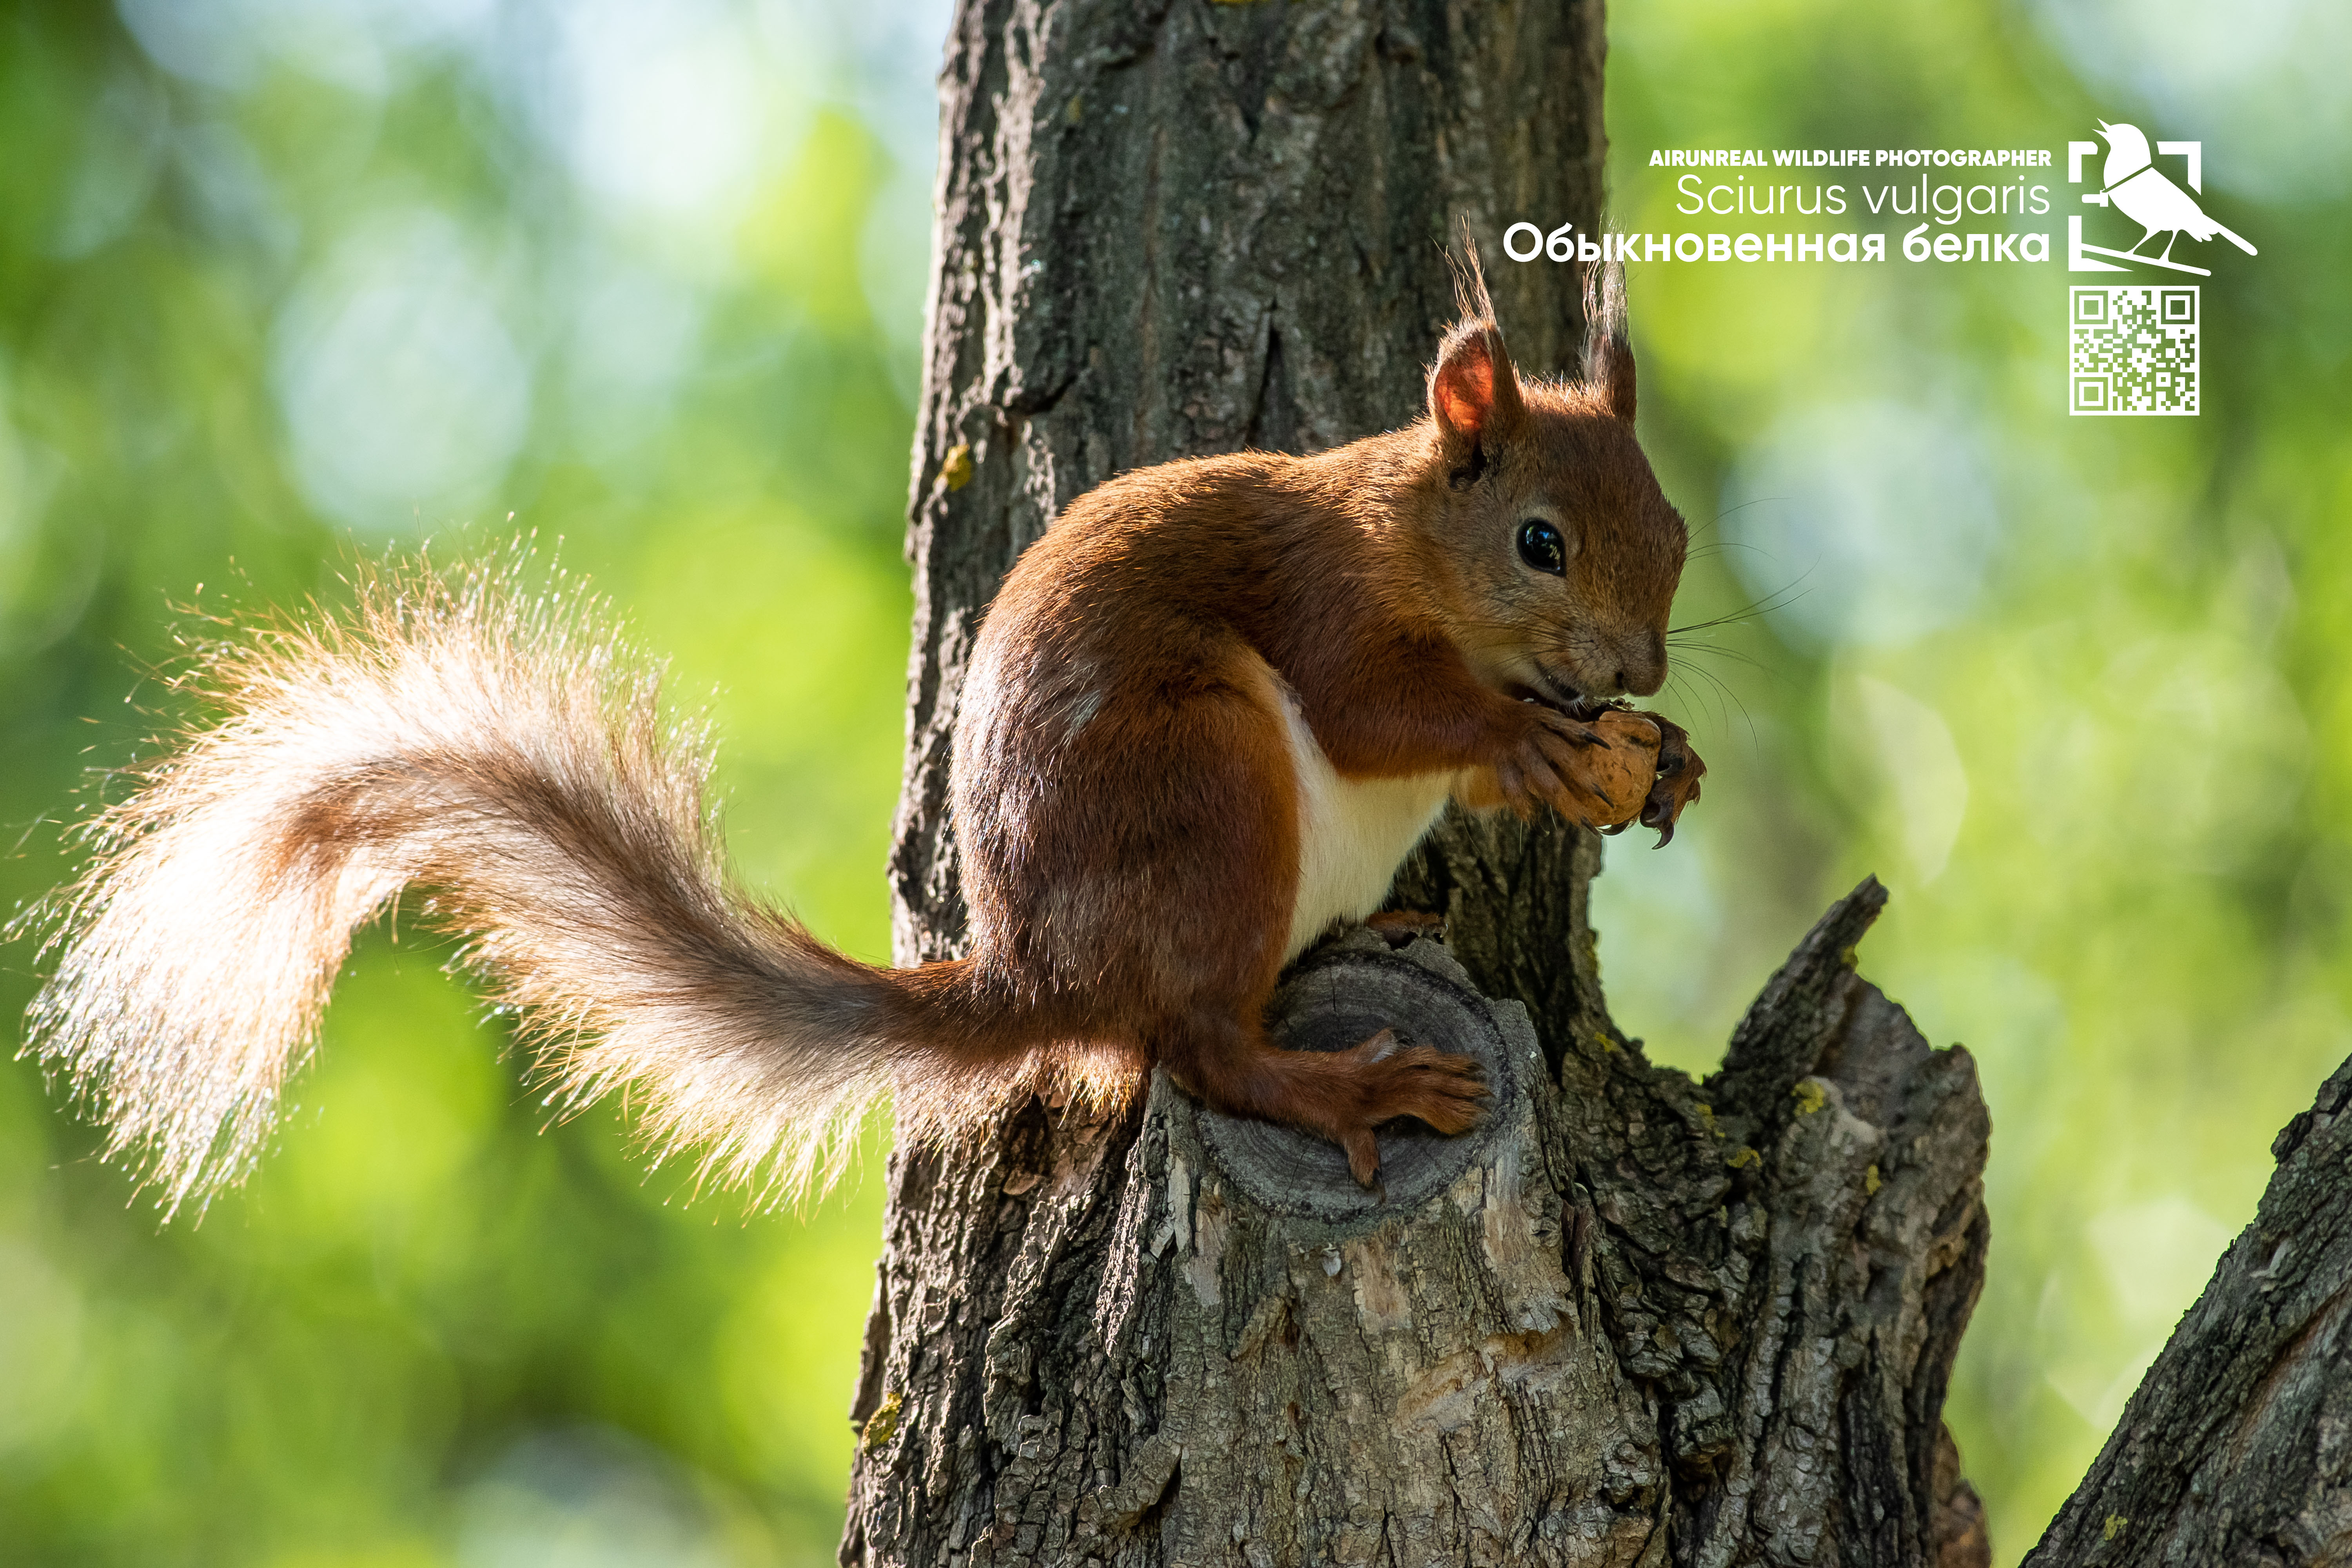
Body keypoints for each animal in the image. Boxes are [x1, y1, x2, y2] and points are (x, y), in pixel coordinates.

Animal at [27, 263, 1703, 1213]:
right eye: (1542, 541)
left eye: (1675, 530)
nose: (1633, 664)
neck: (1412, 528)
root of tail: (1046, 972)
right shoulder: (1325, 599)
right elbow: (1378, 707)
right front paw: (1529, 743)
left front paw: (1663, 752)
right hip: (1205, 781)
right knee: (1201, 1051)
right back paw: (1353, 1088)